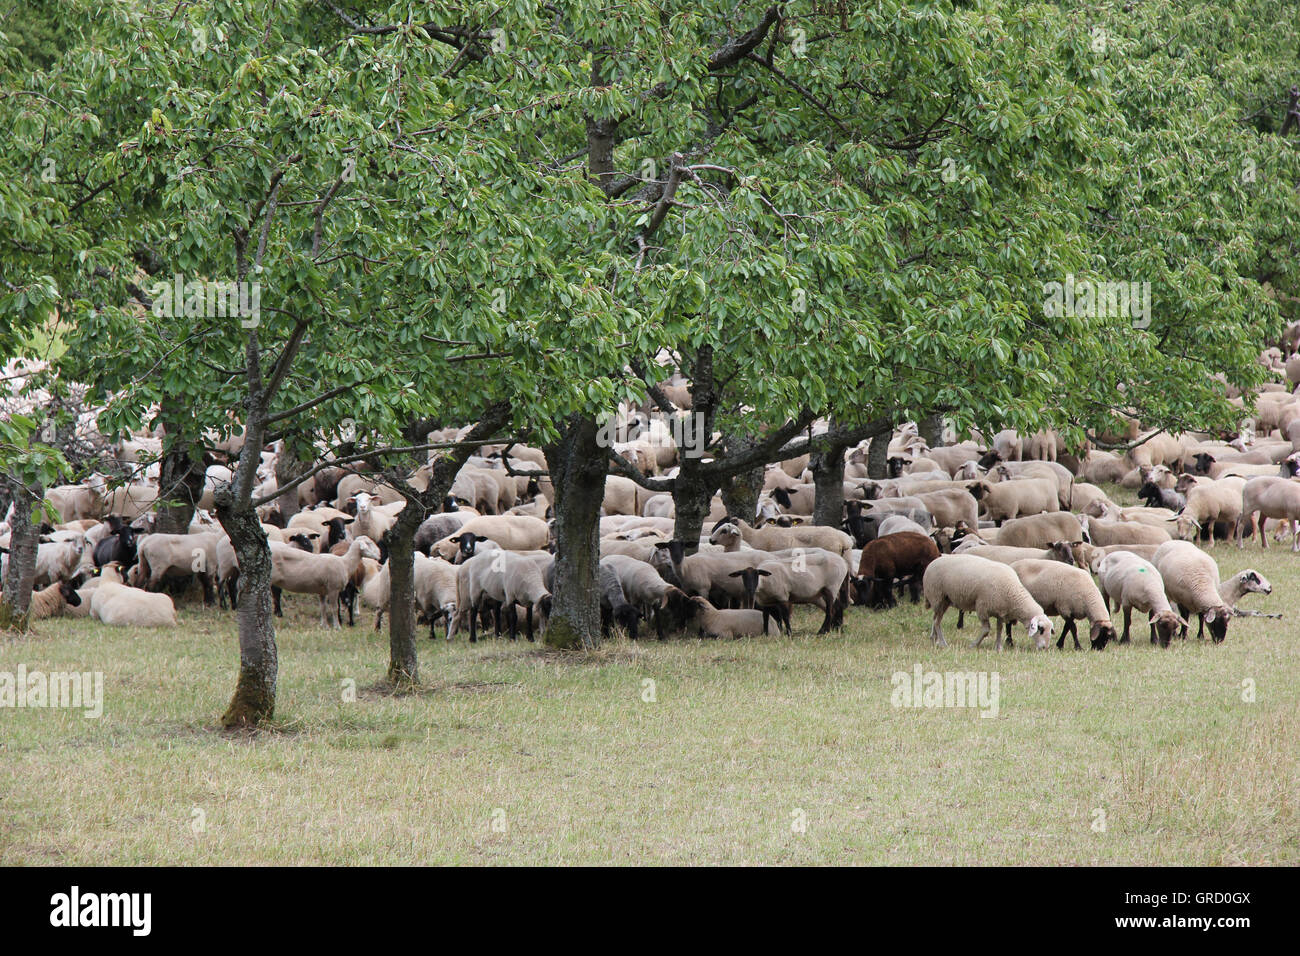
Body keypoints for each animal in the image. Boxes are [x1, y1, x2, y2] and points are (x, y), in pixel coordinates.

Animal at [921, 554, 1053, 650]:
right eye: (1041, 629)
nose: (1044, 648)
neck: (1012, 591)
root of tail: (933, 562)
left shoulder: (1001, 611)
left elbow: (999, 629)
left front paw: (998, 647)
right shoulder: (982, 608)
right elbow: (986, 630)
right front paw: (973, 645)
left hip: (944, 600)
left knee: (934, 618)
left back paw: (933, 638)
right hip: (937, 596)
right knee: (937, 622)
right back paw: (943, 643)